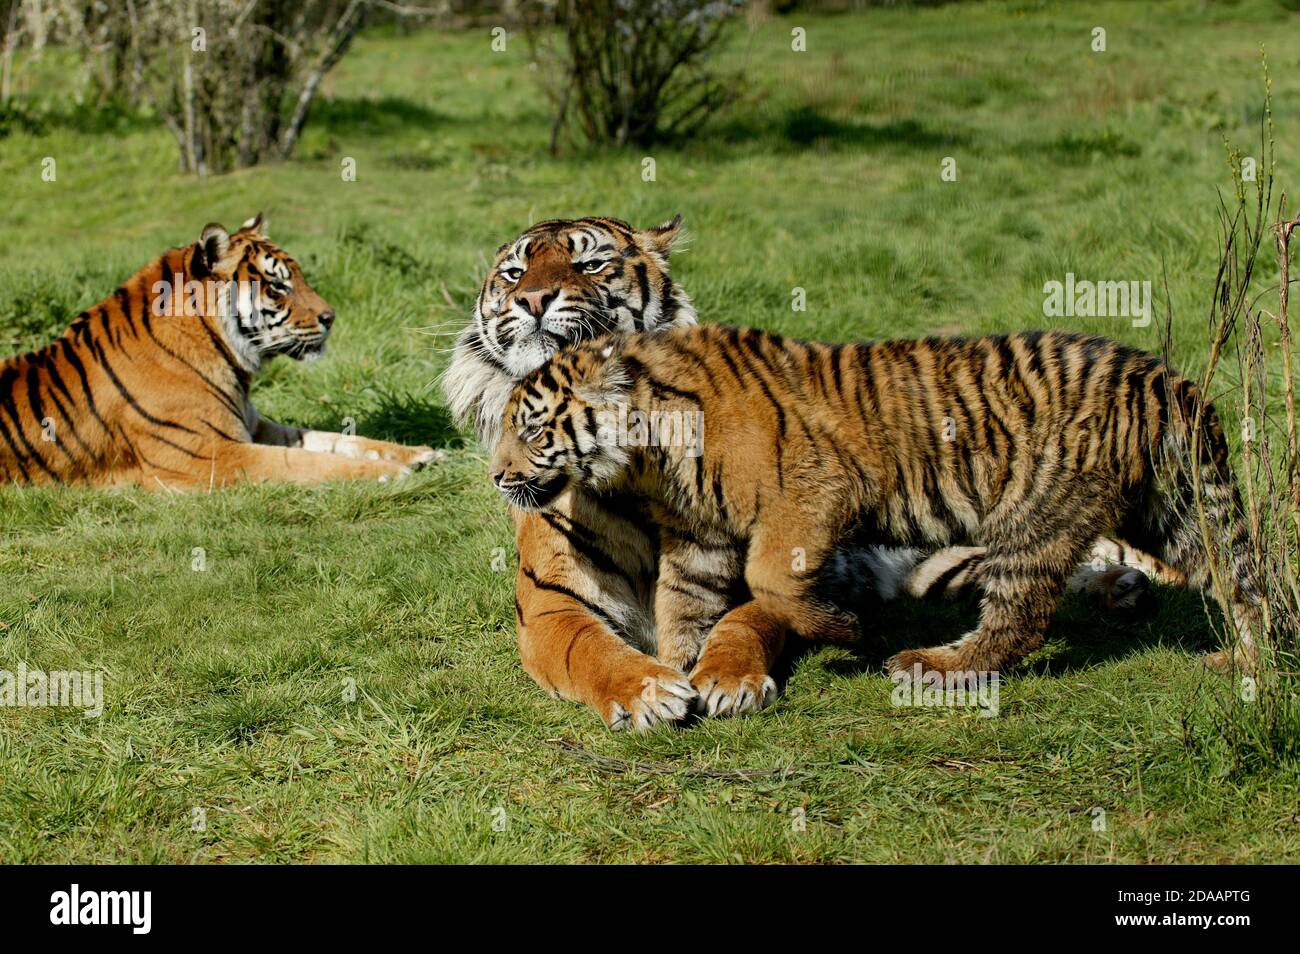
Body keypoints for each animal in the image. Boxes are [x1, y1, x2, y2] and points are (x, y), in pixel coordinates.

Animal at [0, 215, 439, 489]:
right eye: (277, 285)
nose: (330, 317)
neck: (231, 362)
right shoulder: (205, 454)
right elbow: (306, 461)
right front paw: (387, 472)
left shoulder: (256, 428)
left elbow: (338, 439)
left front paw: (418, 454)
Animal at [490, 325, 1261, 718]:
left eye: (530, 429)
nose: (497, 476)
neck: (650, 454)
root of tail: (1160, 377)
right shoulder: (700, 536)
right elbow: (684, 608)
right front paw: (678, 674)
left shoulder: (810, 496)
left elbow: (767, 583)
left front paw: (843, 630)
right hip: (1170, 507)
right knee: (1242, 577)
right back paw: (1247, 659)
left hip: (1036, 511)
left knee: (1020, 619)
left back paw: (931, 664)